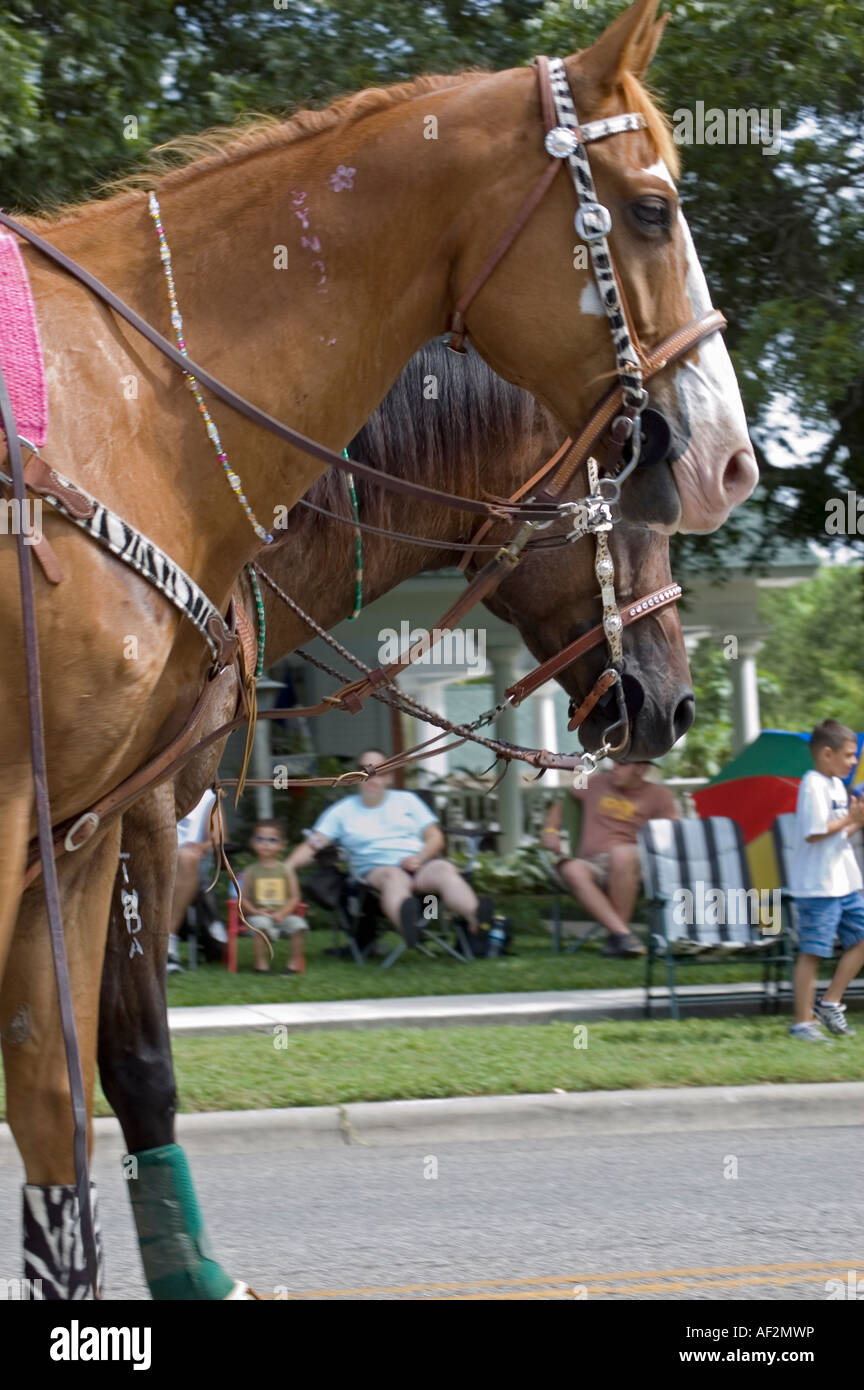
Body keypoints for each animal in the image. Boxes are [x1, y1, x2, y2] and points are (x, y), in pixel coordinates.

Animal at [0, 0, 756, 1298]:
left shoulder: (89, 823)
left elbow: (65, 1088)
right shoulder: (103, 816)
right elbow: (133, 1057)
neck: (136, 414)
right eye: (652, 208)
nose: (730, 460)